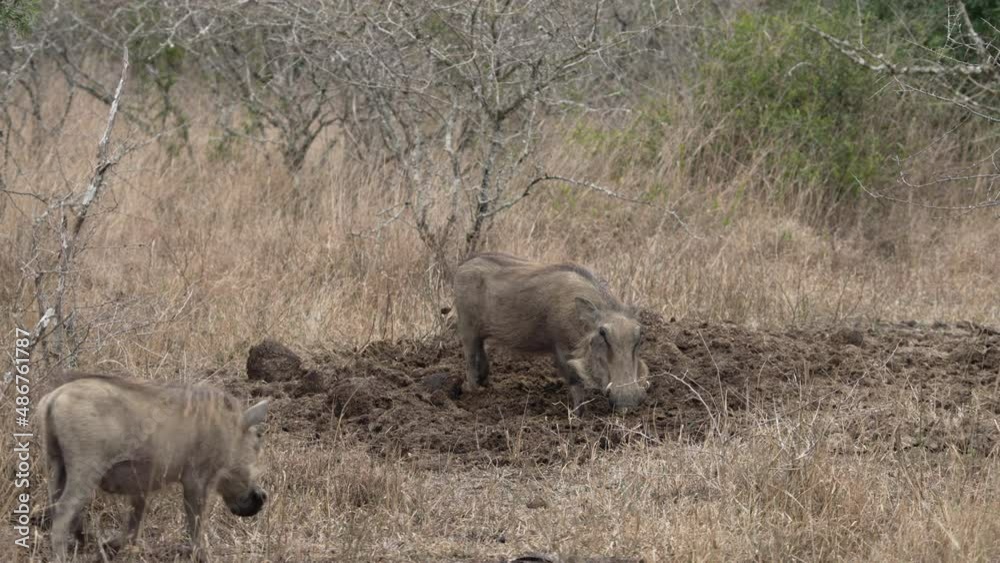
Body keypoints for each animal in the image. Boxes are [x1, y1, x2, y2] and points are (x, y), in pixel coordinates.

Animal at [37, 373, 270, 561]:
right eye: (258, 440)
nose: (261, 498)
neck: (228, 429)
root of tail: (54, 396)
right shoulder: (197, 480)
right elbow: (196, 521)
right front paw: (203, 556)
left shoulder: (141, 484)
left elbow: (135, 520)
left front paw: (111, 548)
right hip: (85, 470)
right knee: (63, 513)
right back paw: (62, 557)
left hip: (56, 466)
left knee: (55, 507)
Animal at [454, 253, 649, 411]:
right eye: (602, 333)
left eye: (639, 335)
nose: (627, 402)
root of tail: (462, 265)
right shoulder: (561, 347)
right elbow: (575, 381)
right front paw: (578, 416)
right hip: (467, 329)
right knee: (470, 360)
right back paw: (475, 394)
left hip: (479, 334)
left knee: (481, 356)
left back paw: (486, 385)